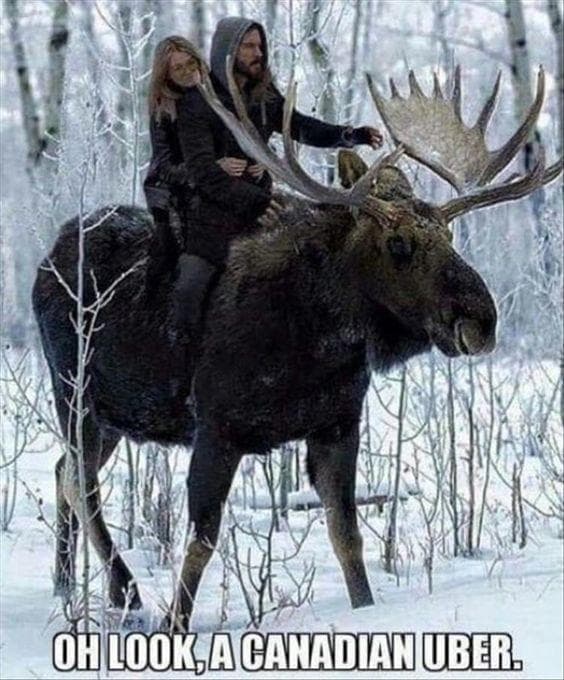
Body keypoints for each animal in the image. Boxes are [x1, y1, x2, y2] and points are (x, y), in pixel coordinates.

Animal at [32, 62, 561, 632]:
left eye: (451, 235)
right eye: (399, 244)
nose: (481, 320)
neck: (315, 345)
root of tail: (45, 258)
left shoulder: (336, 424)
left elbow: (347, 536)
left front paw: (365, 608)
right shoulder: (217, 427)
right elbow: (201, 541)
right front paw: (175, 625)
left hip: (114, 416)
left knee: (64, 473)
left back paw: (65, 583)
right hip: (75, 395)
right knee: (80, 482)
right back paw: (123, 591)